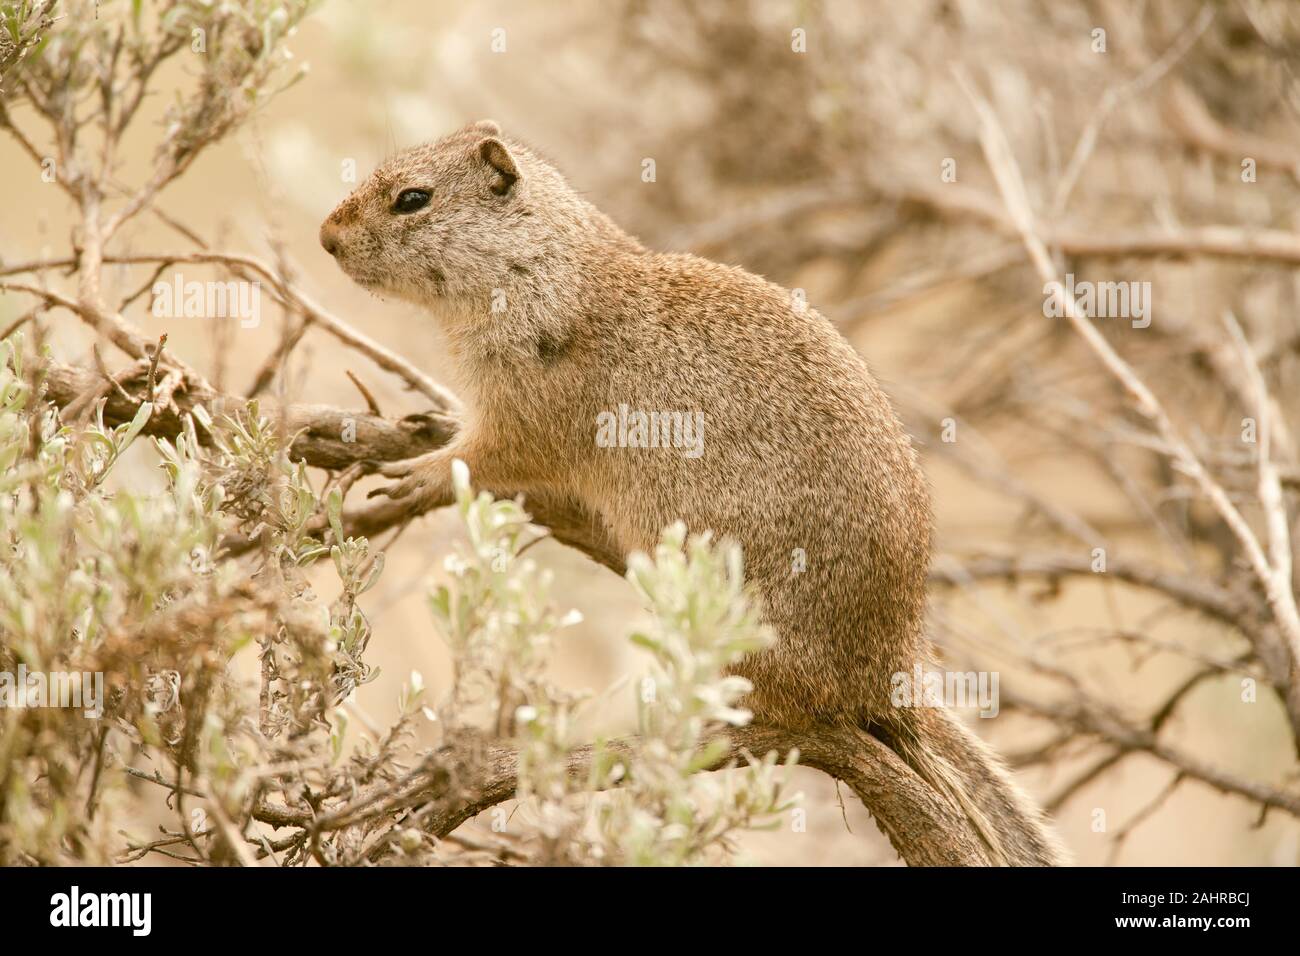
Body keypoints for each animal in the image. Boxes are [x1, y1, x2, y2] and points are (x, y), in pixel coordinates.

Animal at [319, 120, 1068, 866]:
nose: (325, 236)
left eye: (412, 199)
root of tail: (885, 673)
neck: (541, 267)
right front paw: (422, 426)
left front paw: (419, 470)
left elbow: (485, 456)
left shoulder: (524, 416)